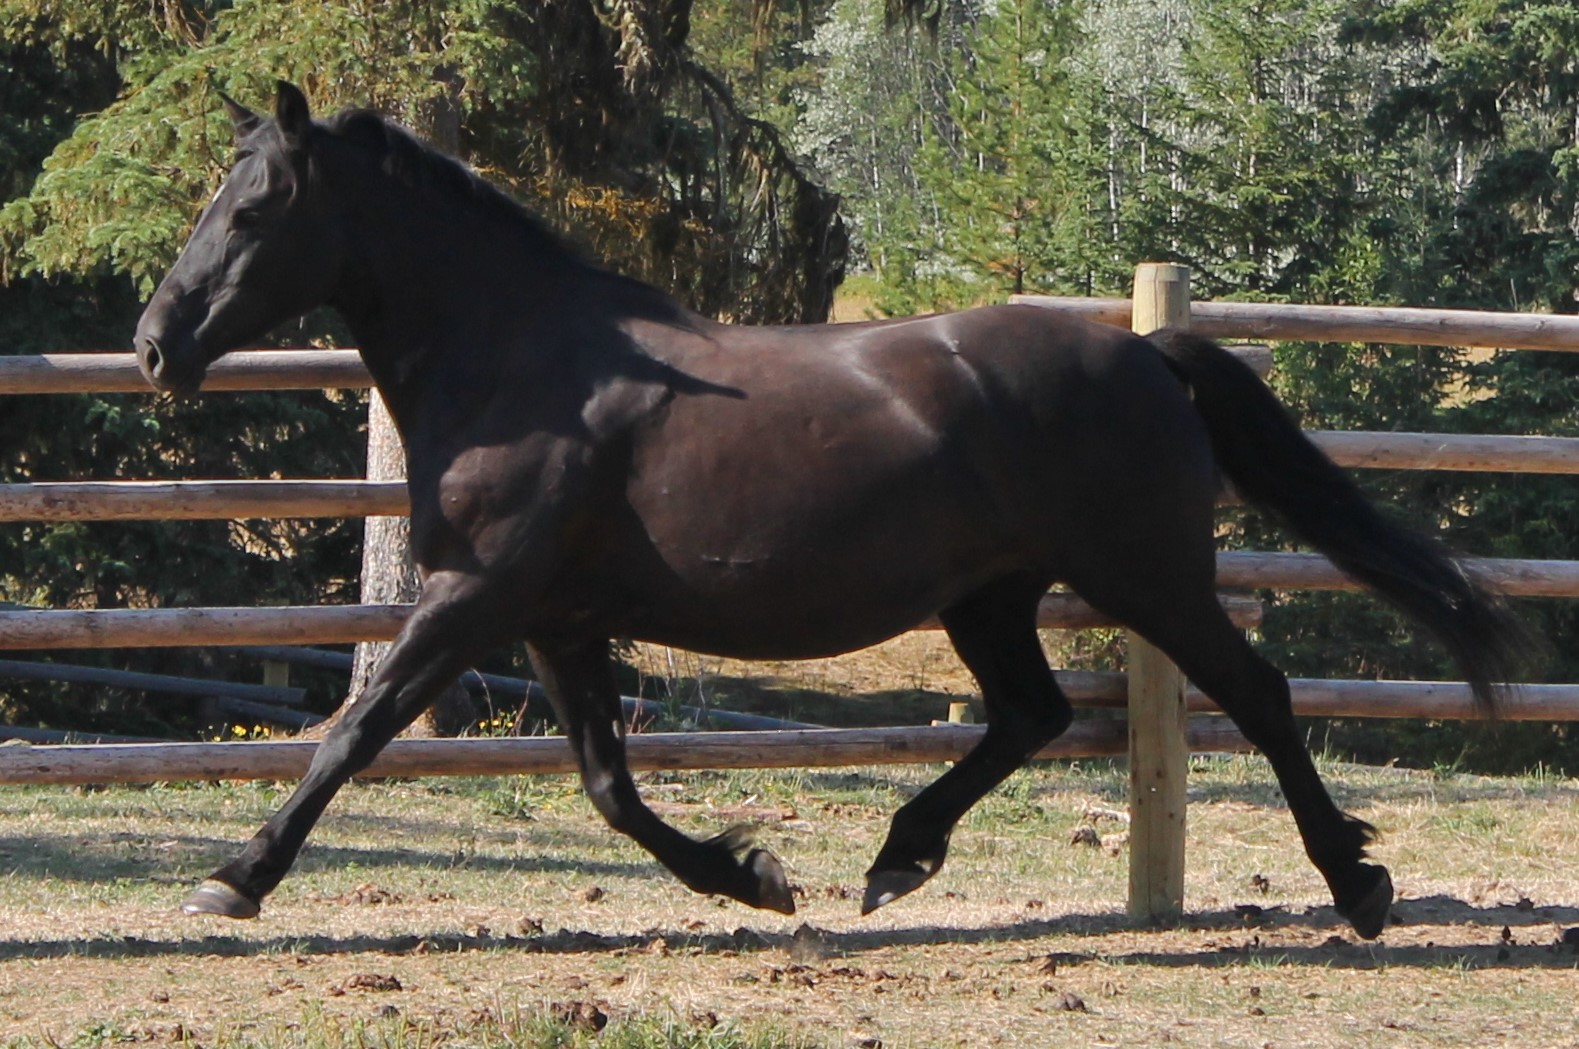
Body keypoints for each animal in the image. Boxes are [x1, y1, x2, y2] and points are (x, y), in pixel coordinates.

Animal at [133, 82, 1527, 940]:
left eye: (254, 209)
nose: (156, 345)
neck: (526, 368)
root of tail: (1141, 349)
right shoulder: (556, 617)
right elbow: (608, 785)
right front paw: (753, 874)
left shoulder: (471, 597)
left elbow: (352, 732)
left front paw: (232, 877)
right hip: (992, 596)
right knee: (1030, 713)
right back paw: (896, 855)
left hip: (1144, 575)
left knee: (1257, 692)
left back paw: (1359, 884)